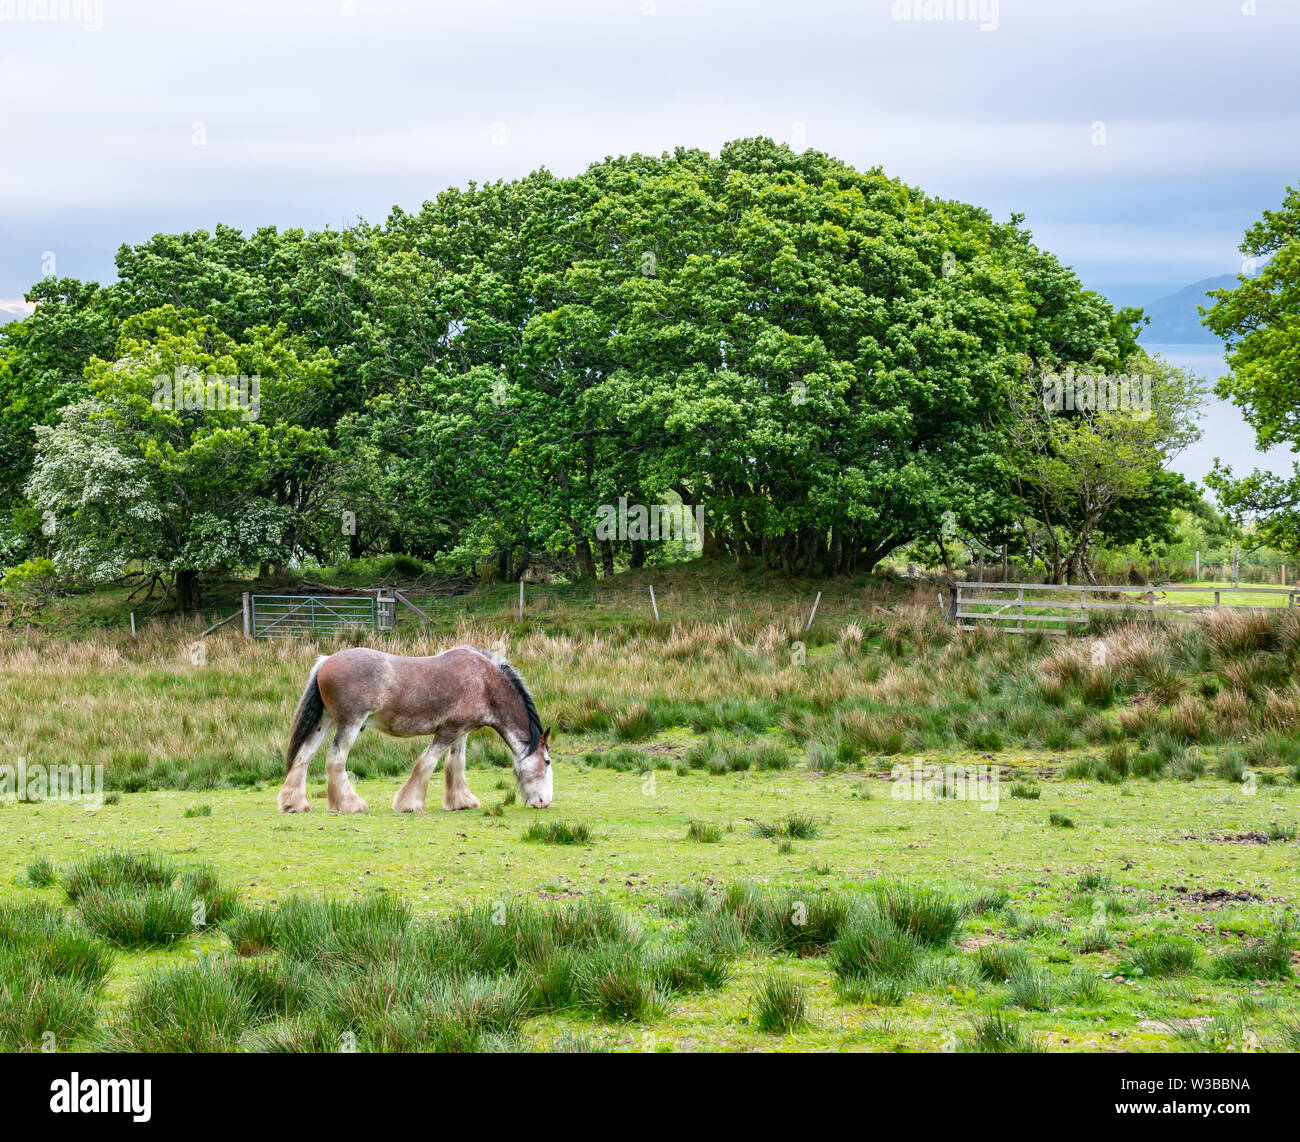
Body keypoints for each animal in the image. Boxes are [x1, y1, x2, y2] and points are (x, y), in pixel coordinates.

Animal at [277, 646, 552, 814]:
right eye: (548, 761)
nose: (545, 802)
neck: (484, 682)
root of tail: (325, 662)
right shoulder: (447, 730)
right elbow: (427, 762)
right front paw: (409, 803)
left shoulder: (461, 731)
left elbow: (456, 764)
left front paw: (461, 801)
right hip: (349, 724)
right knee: (336, 758)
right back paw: (350, 804)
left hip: (325, 723)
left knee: (303, 757)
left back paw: (294, 804)